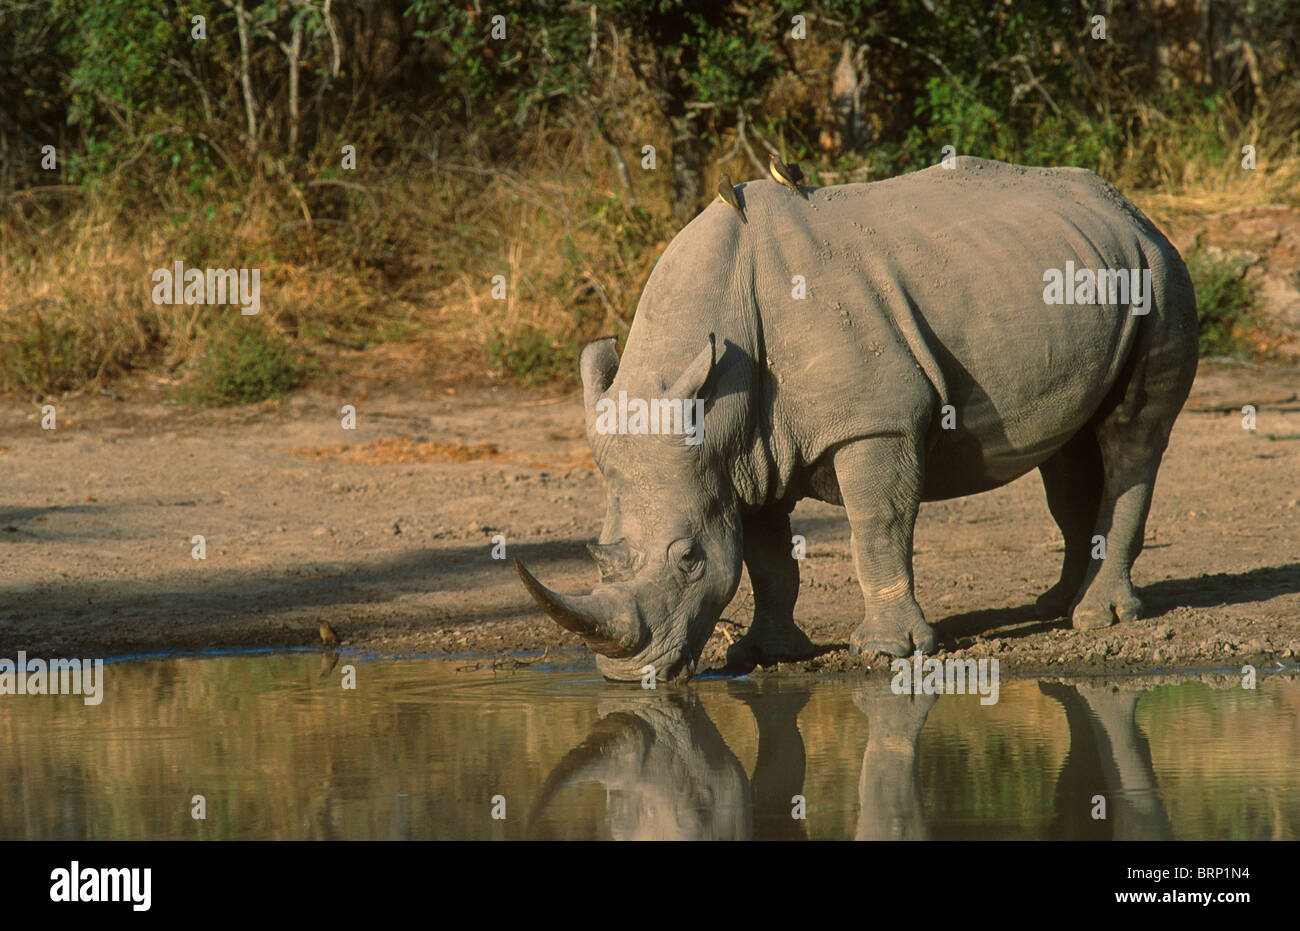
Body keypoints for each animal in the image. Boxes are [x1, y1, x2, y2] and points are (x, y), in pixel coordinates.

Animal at [516, 157, 1198, 682]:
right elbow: (766, 557)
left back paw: (1097, 616)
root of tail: (1132, 208)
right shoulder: (742, 455)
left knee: (1132, 436)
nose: (625, 676)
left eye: (688, 559)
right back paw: (1054, 603)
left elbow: (877, 527)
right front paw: (766, 654)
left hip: (1159, 273)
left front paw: (887, 652)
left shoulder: (877, 421)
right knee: (1068, 453)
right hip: (1084, 270)